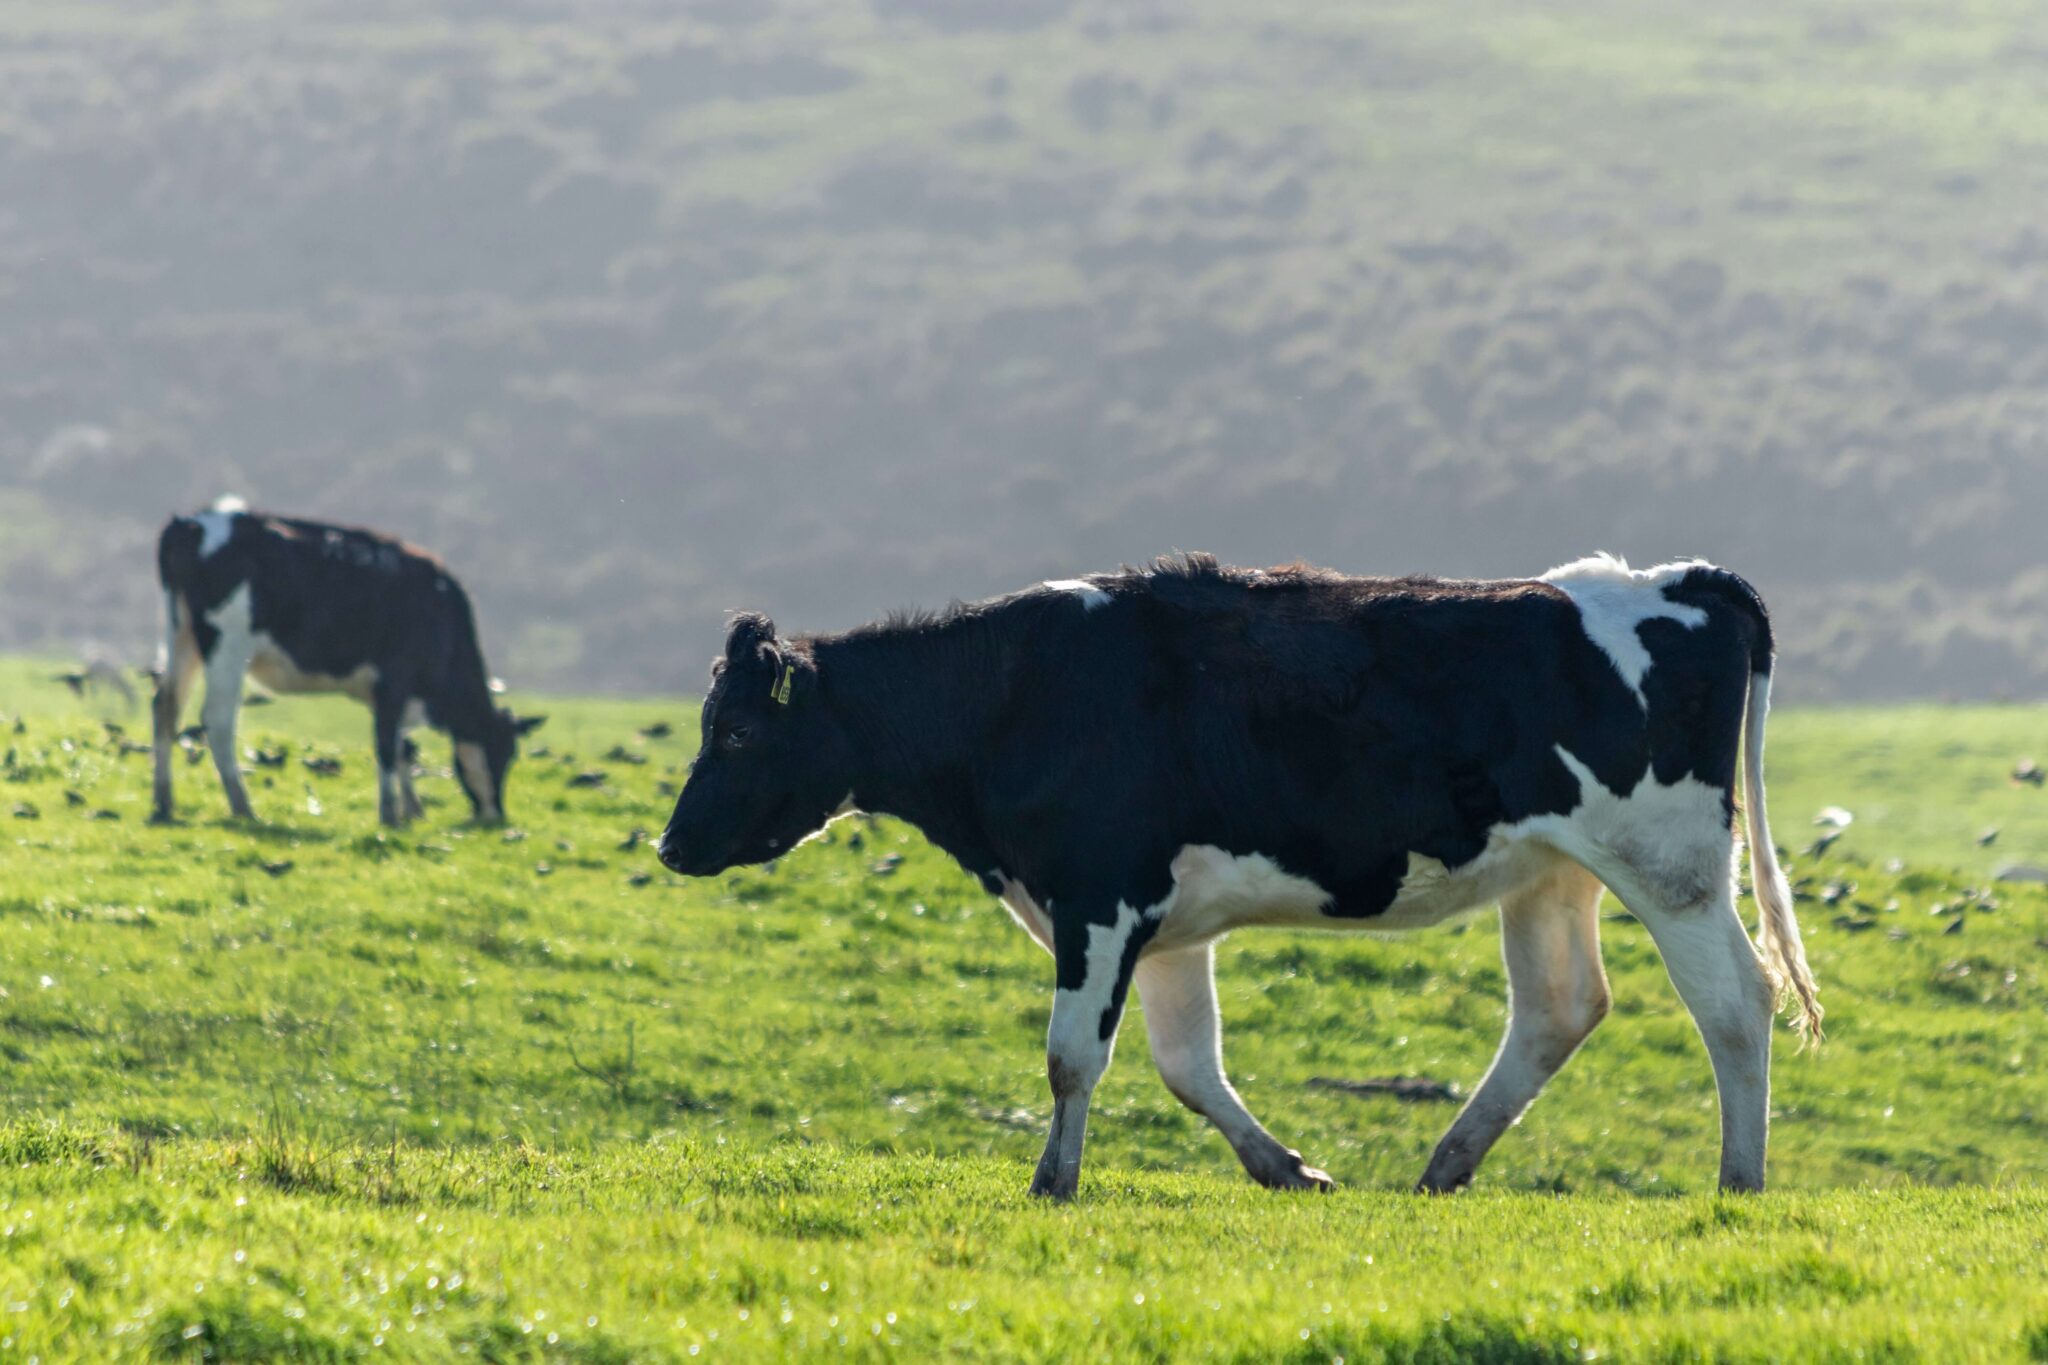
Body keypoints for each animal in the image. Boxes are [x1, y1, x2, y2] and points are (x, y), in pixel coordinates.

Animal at [151, 498, 544, 827]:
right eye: (501, 753)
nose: (495, 816)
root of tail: (191, 522)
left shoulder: (384, 693)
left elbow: (403, 748)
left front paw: (412, 810)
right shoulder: (394, 679)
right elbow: (387, 747)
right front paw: (390, 814)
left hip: (181, 635)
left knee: (165, 706)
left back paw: (164, 803)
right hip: (227, 644)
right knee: (217, 720)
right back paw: (243, 807)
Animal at [656, 552, 1822, 1201]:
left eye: (739, 733)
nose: (670, 846)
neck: (1018, 693)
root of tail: (1672, 579)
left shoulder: (1099, 894)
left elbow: (1071, 1058)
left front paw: (1052, 1181)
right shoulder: (1165, 922)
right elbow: (1185, 1065)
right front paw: (1286, 1167)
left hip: (1669, 862)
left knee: (1735, 1003)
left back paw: (1739, 1179)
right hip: (1550, 871)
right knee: (1559, 1006)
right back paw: (1445, 1164)